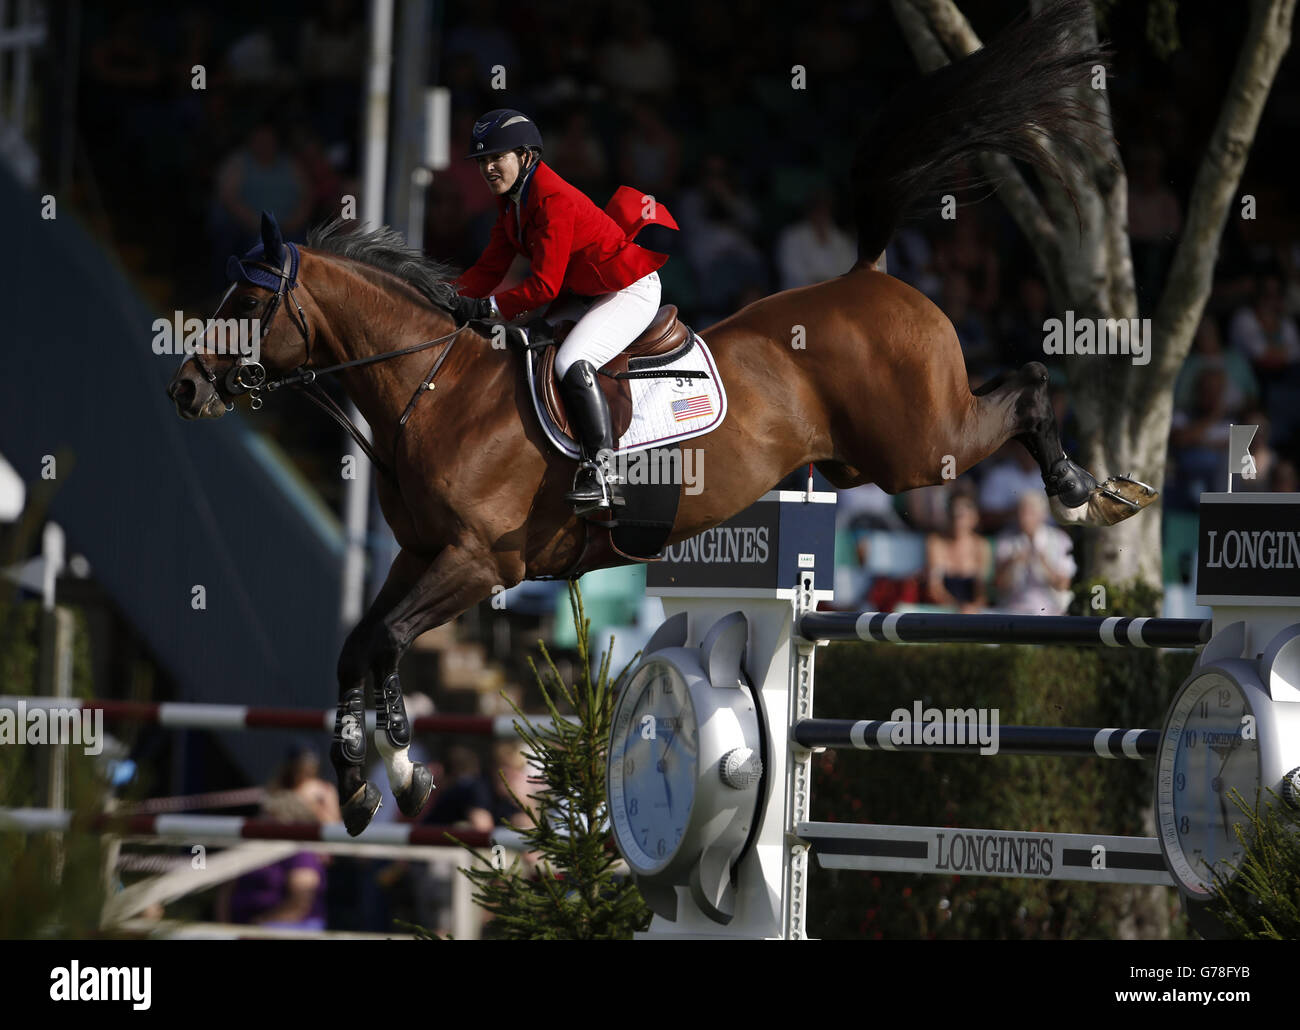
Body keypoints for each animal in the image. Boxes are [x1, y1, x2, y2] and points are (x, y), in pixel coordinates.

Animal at [168, 0, 1154, 834]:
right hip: (871, 461)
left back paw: (1090, 491)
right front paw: (373, 781)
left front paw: (394, 769)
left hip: (920, 451)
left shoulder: (479, 563)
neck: (432, 390)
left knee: (1028, 385)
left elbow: (381, 640)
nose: (184, 389)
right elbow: (358, 649)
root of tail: (870, 272)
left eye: (246, 302)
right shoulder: (419, 554)